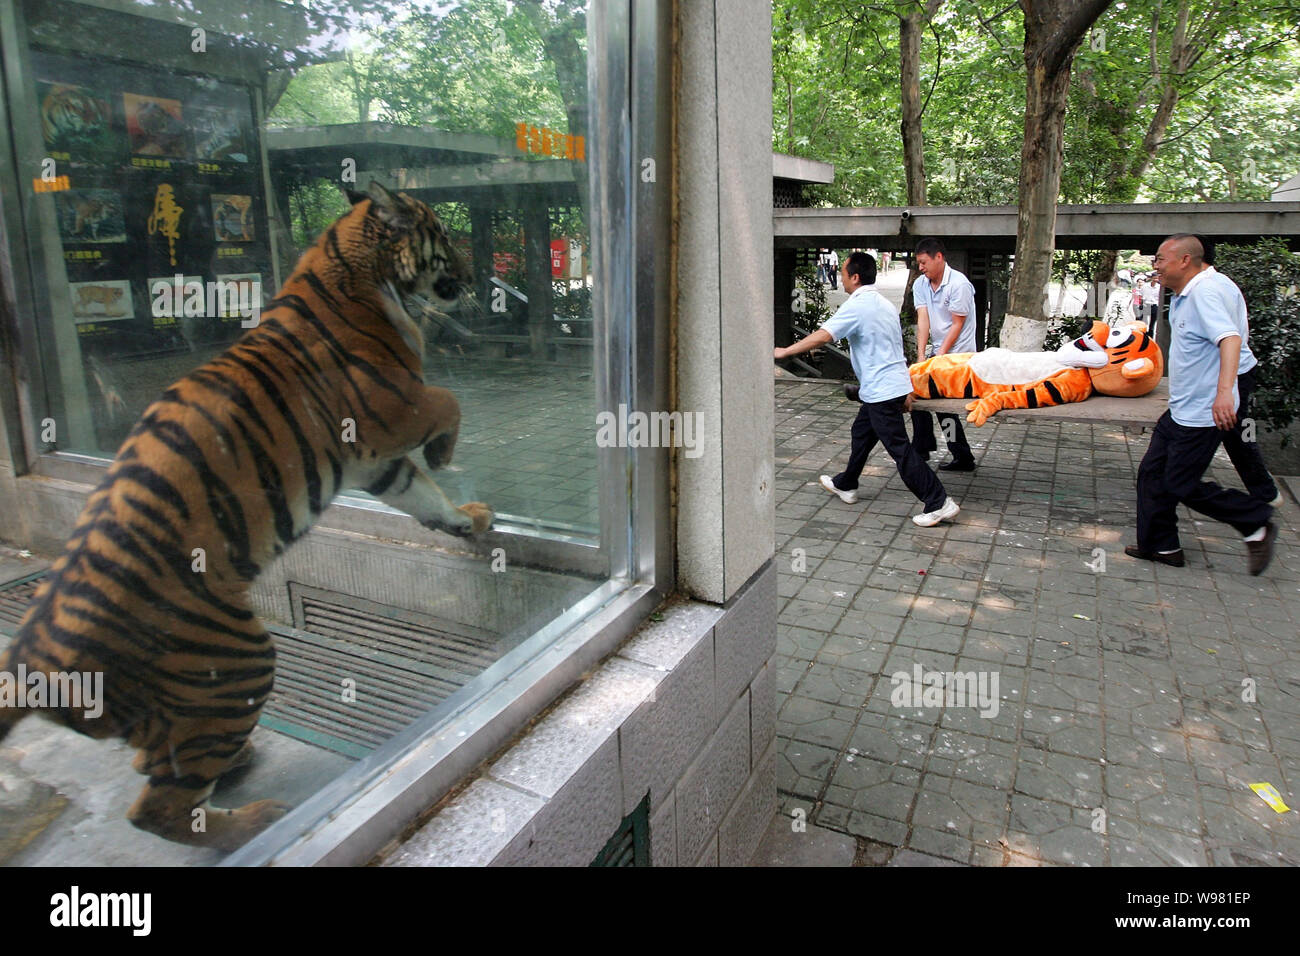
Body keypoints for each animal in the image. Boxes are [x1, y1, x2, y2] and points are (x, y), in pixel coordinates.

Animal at [0, 181, 492, 851]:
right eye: (442, 235)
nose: (469, 276)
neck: (352, 269)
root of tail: (32, 655)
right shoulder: (388, 411)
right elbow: (449, 402)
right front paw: (445, 455)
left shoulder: (373, 461)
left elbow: (418, 492)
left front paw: (464, 519)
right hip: (233, 665)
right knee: (155, 809)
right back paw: (253, 822)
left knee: (154, 762)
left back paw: (236, 768)